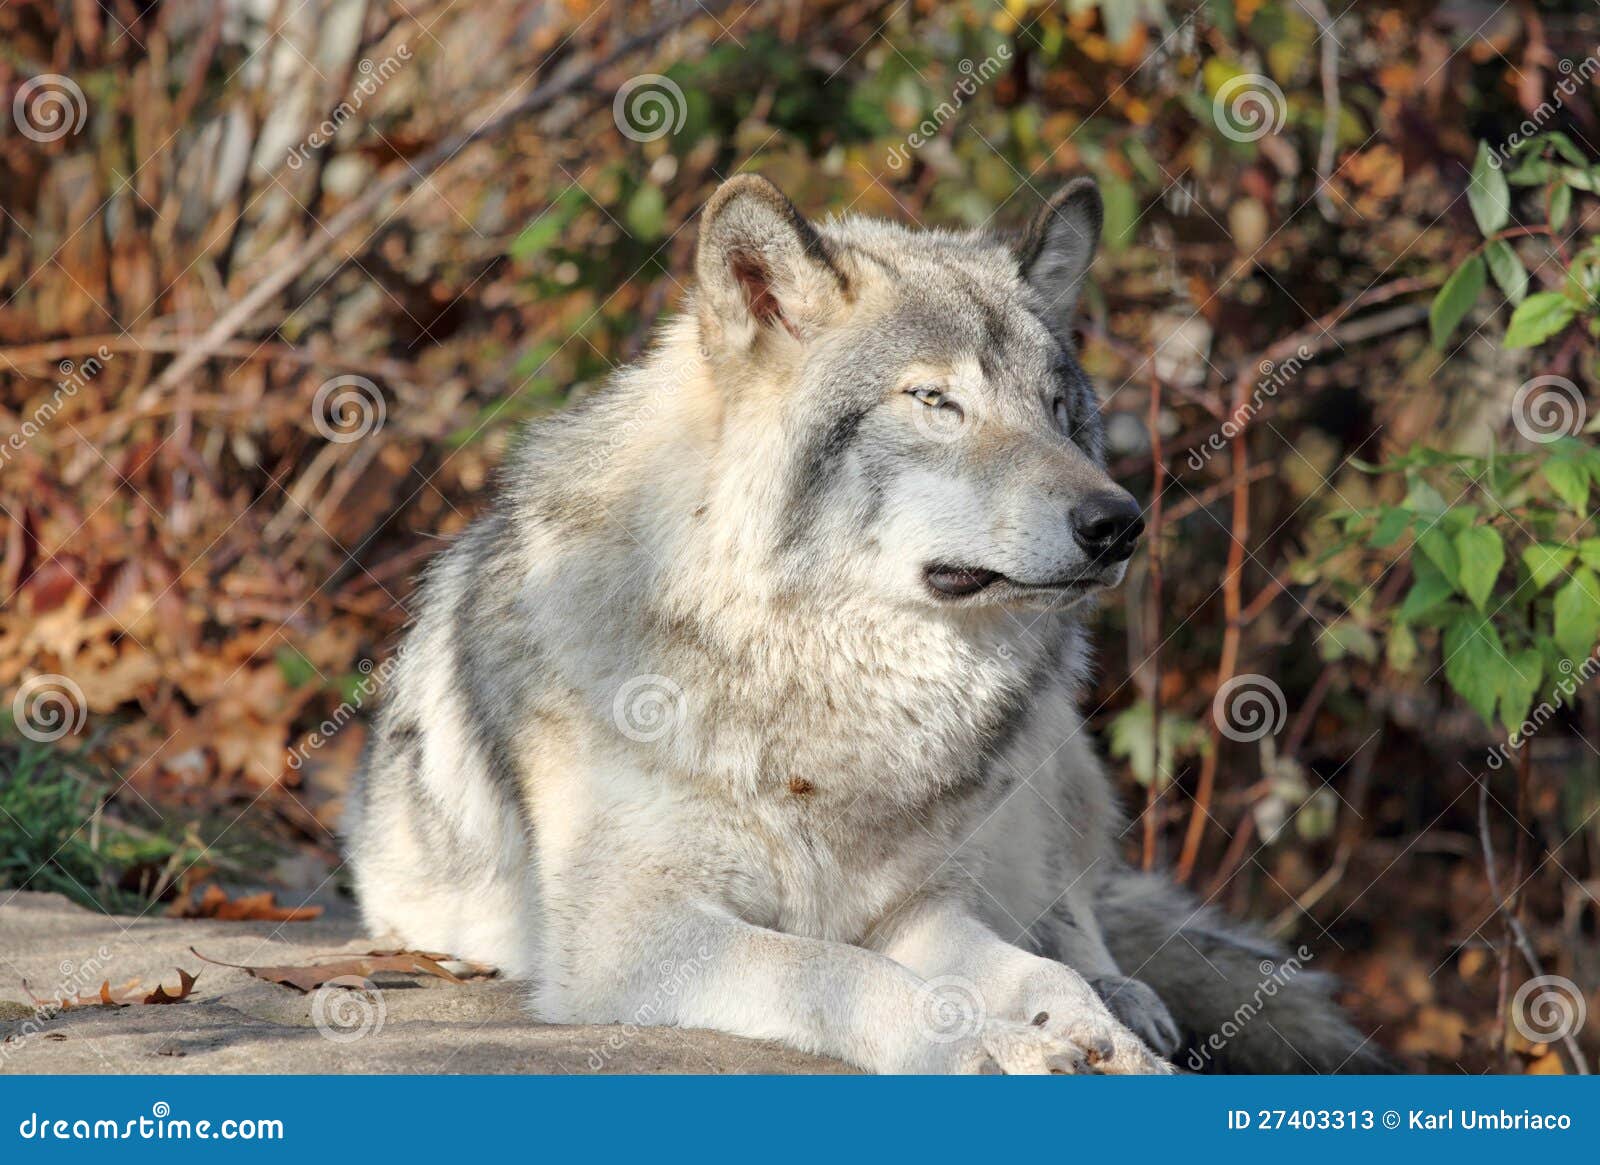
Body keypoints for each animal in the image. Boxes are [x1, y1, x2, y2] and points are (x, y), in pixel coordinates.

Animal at [344, 174, 1388, 1074]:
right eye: (935, 400)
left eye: (1060, 410)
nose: (1118, 522)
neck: (813, 677)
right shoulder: (634, 935)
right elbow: (844, 972)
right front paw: (987, 1048)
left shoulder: (915, 903)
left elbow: (1030, 969)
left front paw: (1091, 1029)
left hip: (1046, 762)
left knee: (1075, 917)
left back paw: (1128, 998)